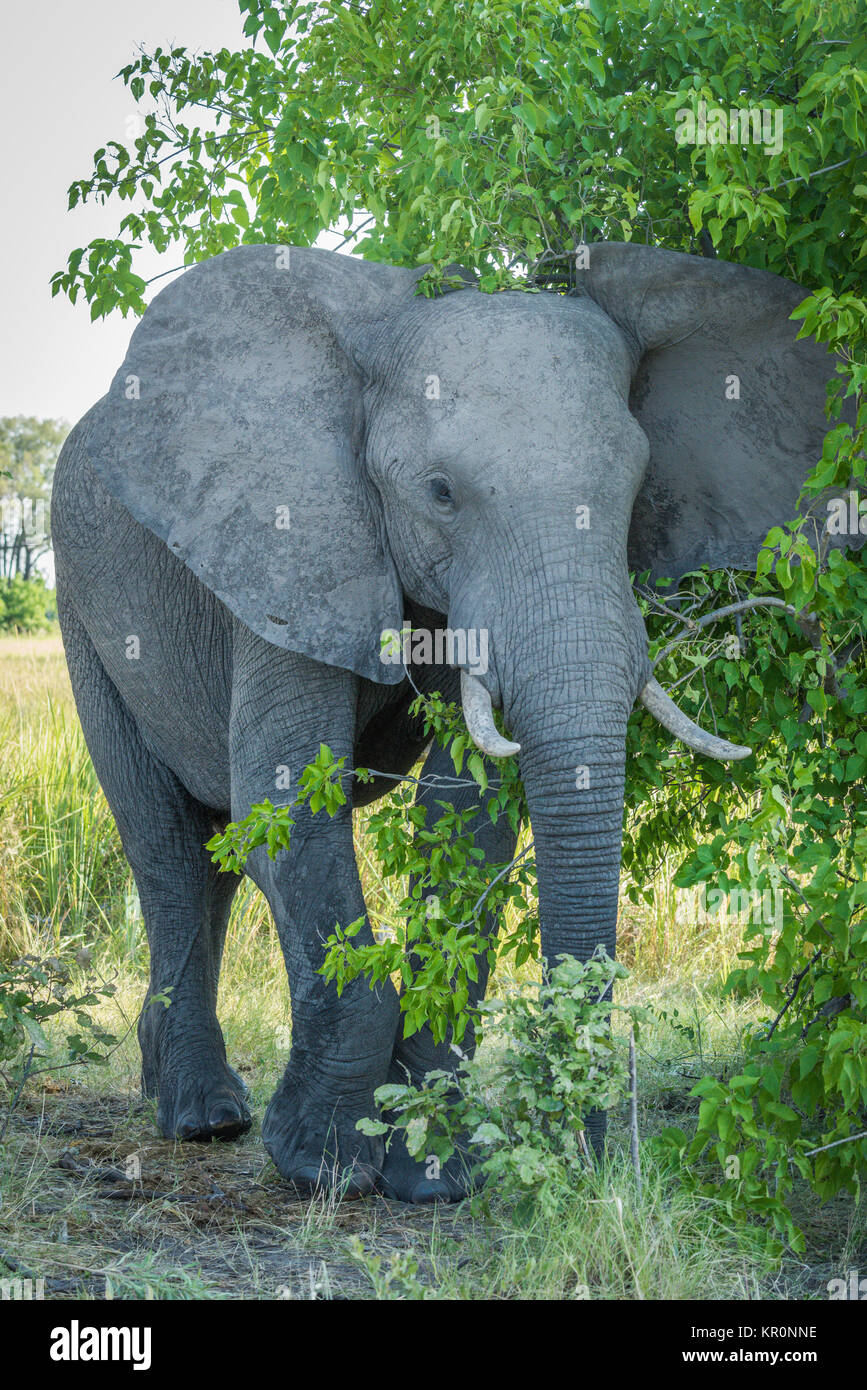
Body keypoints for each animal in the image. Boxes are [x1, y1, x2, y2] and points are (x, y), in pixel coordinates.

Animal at [51, 240, 853, 1202]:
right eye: (439, 493)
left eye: (634, 494)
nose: (593, 1160)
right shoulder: (292, 545)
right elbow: (285, 804)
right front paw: (322, 1165)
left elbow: (467, 821)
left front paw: (432, 1173)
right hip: (82, 606)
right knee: (169, 846)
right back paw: (203, 1120)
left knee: (211, 857)